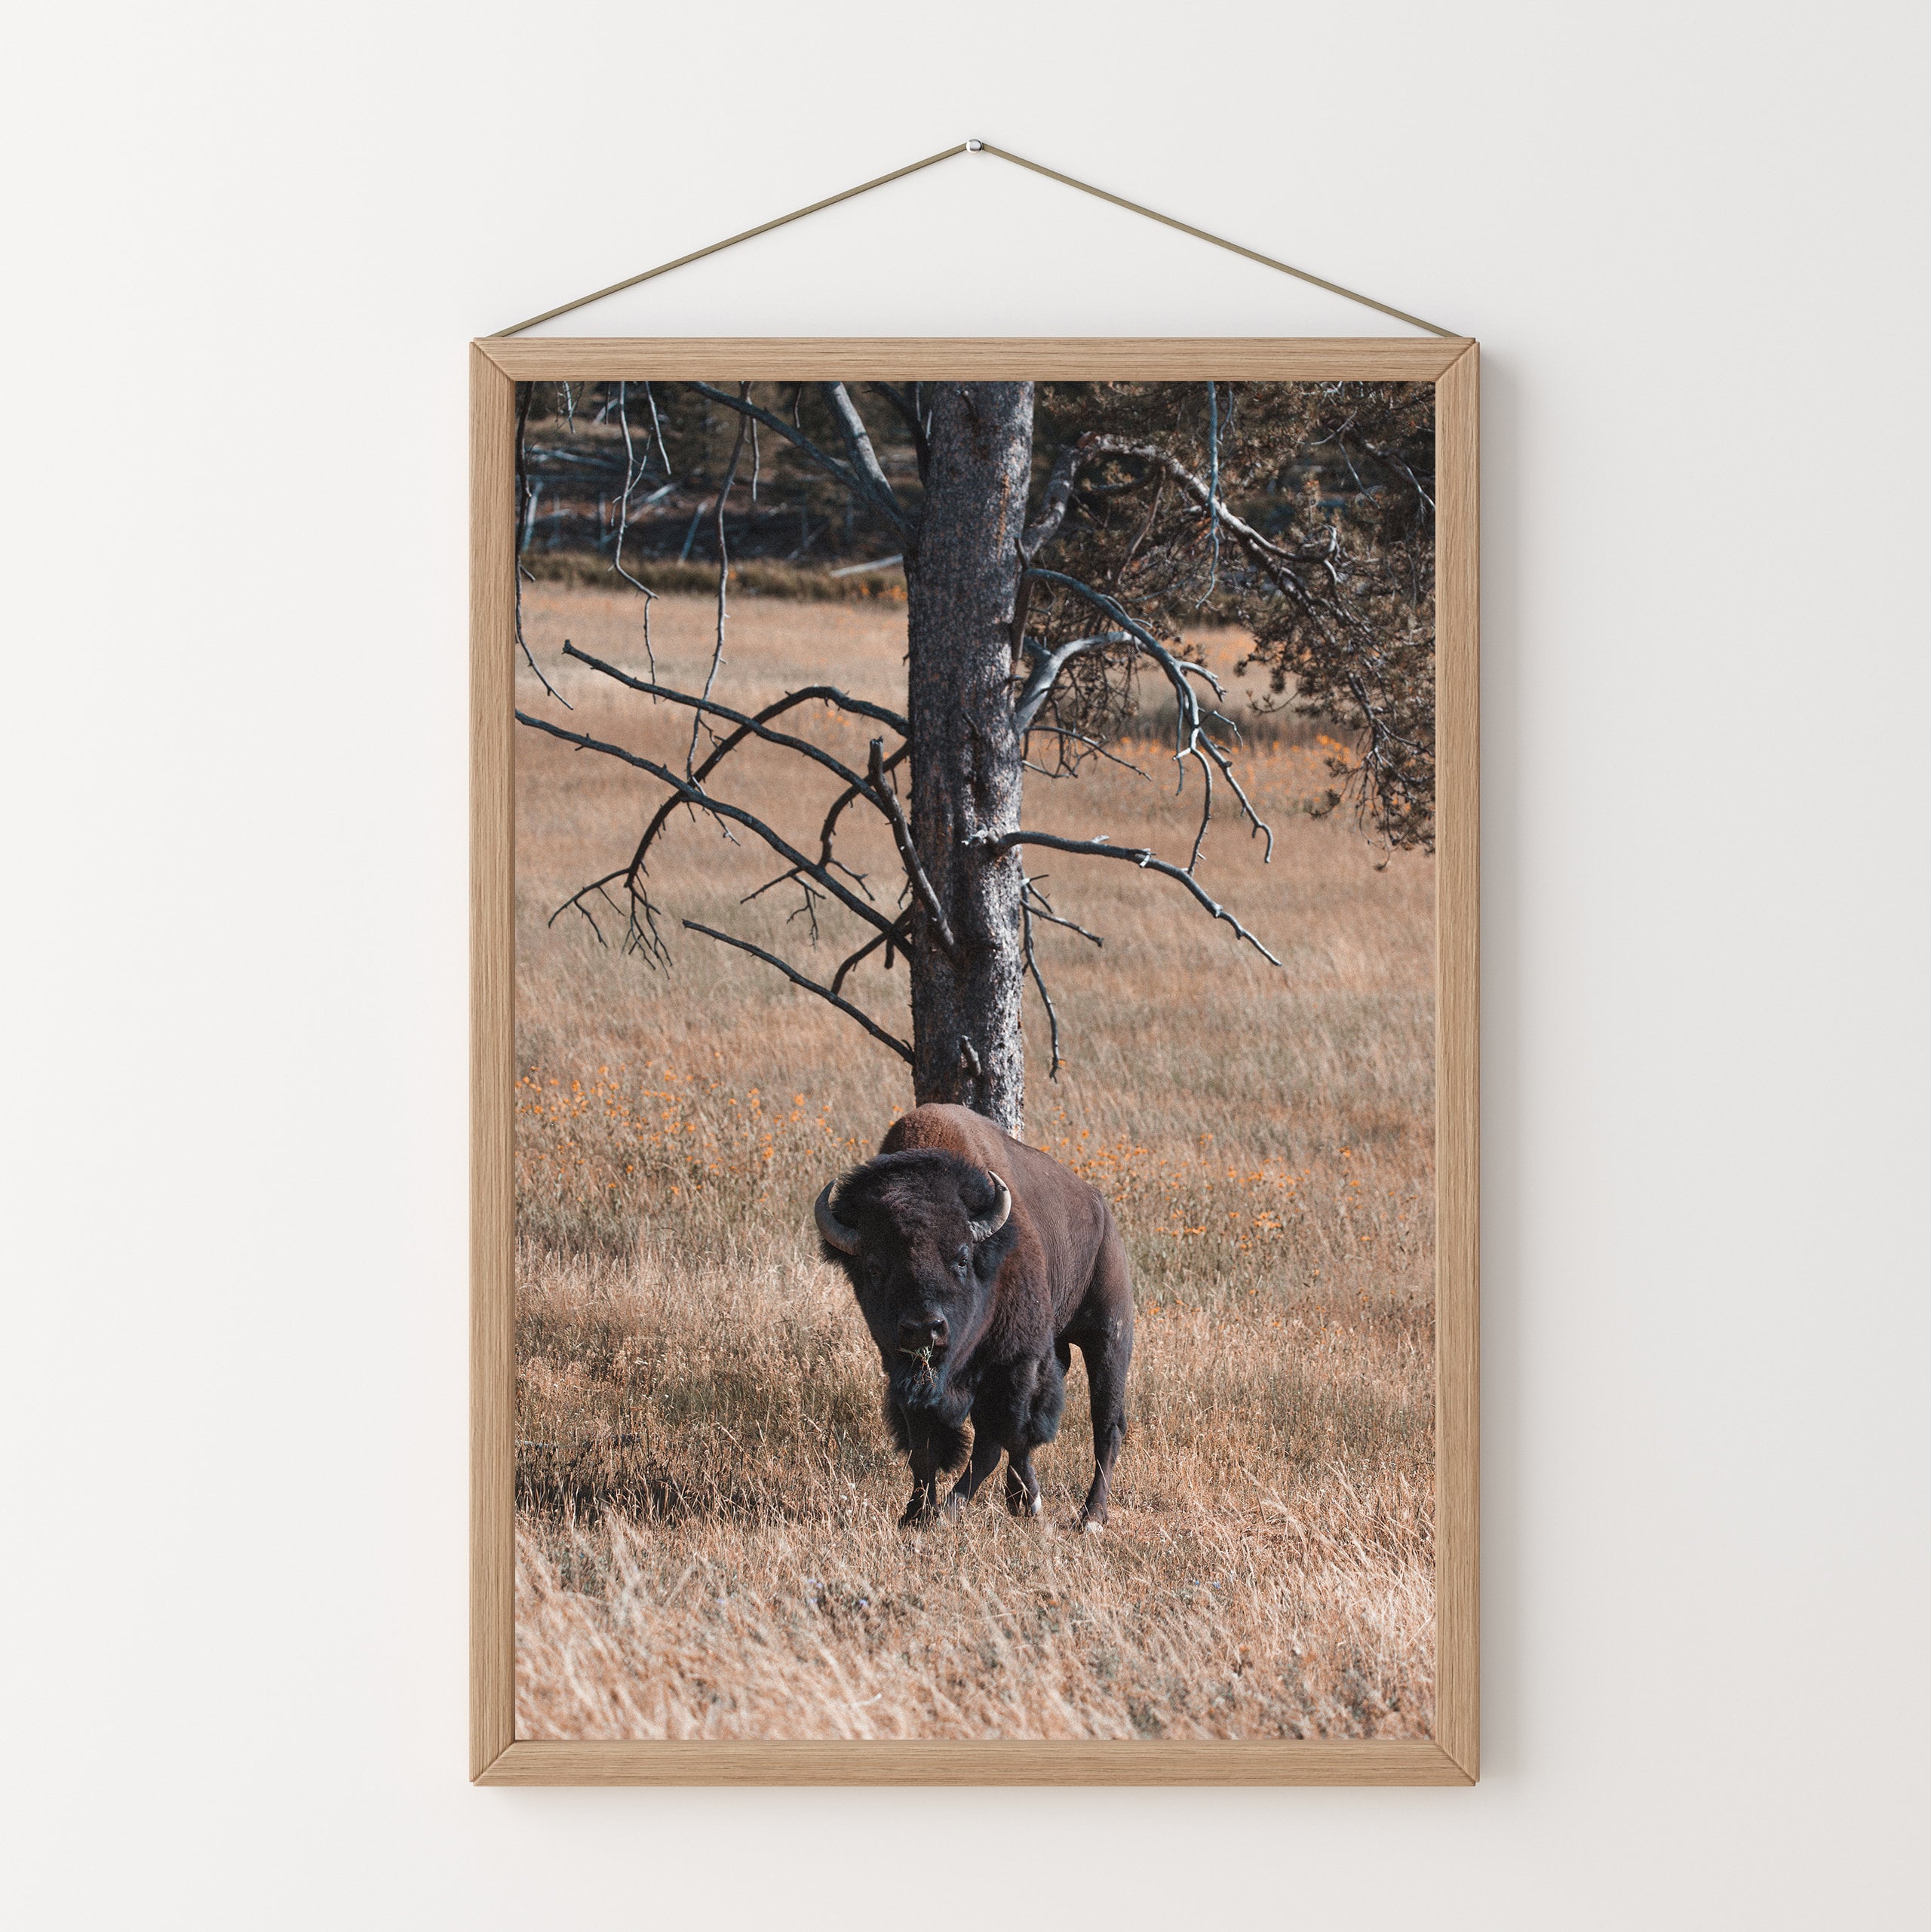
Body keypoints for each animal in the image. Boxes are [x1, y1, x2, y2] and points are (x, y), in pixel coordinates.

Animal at [813, 1103, 1133, 1531]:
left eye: (962, 1258)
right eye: (875, 1268)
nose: (925, 1329)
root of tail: (1100, 1207)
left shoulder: (1014, 1365)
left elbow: (998, 1442)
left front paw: (956, 1510)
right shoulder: (906, 1376)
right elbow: (925, 1448)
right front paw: (916, 1514)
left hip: (1108, 1338)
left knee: (1106, 1426)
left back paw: (1091, 1516)